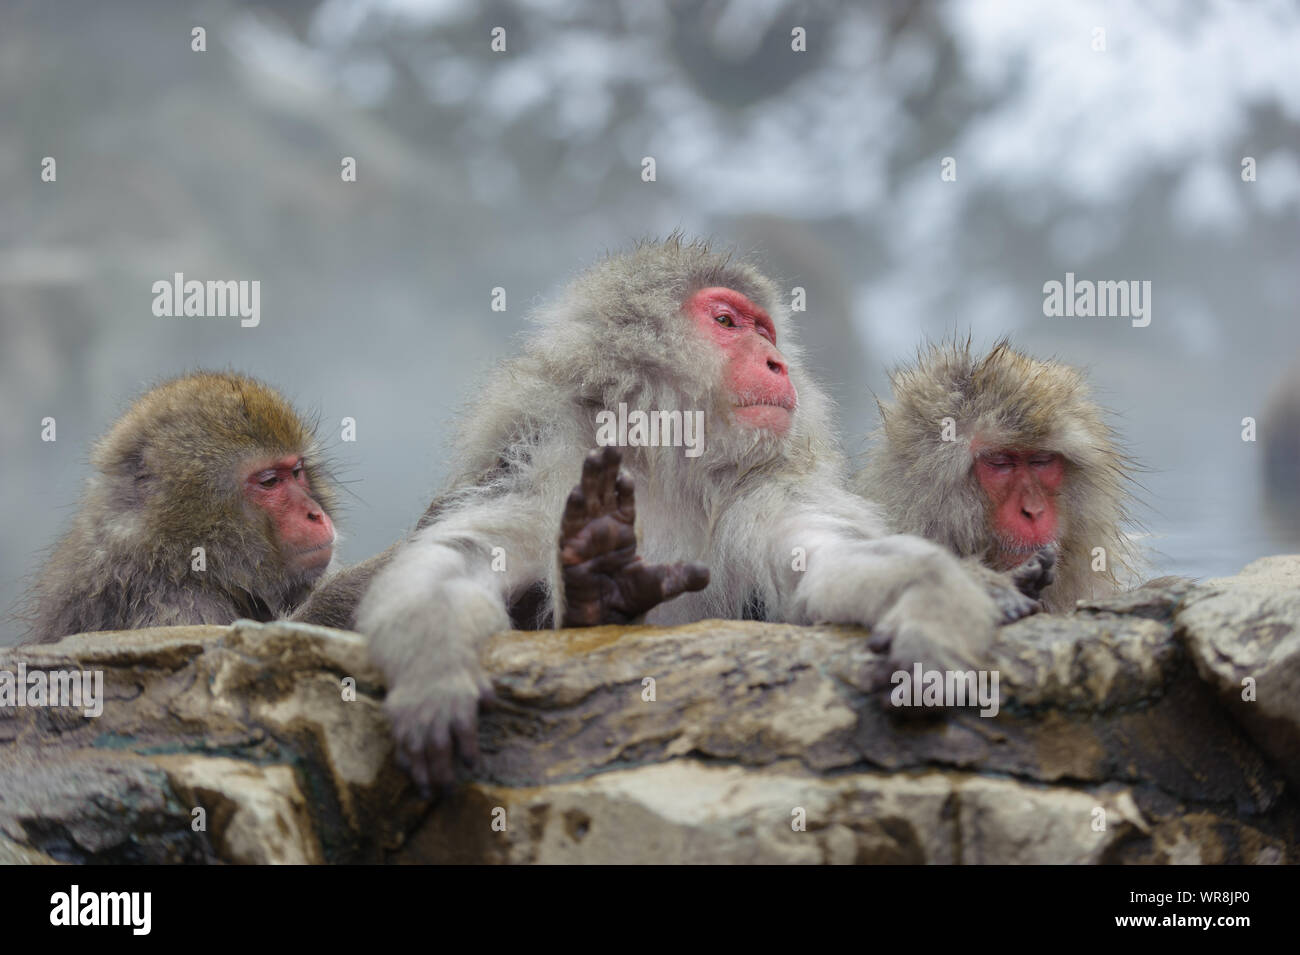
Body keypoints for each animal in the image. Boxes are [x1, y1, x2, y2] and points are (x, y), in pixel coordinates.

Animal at [352, 237, 1047, 792]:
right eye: (727, 321)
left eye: (766, 333)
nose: (777, 363)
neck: (662, 465)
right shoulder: (542, 463)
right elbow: (457, 560)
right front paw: (434, 667)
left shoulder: (761, 491)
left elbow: (833, 553)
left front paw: (936, 605)